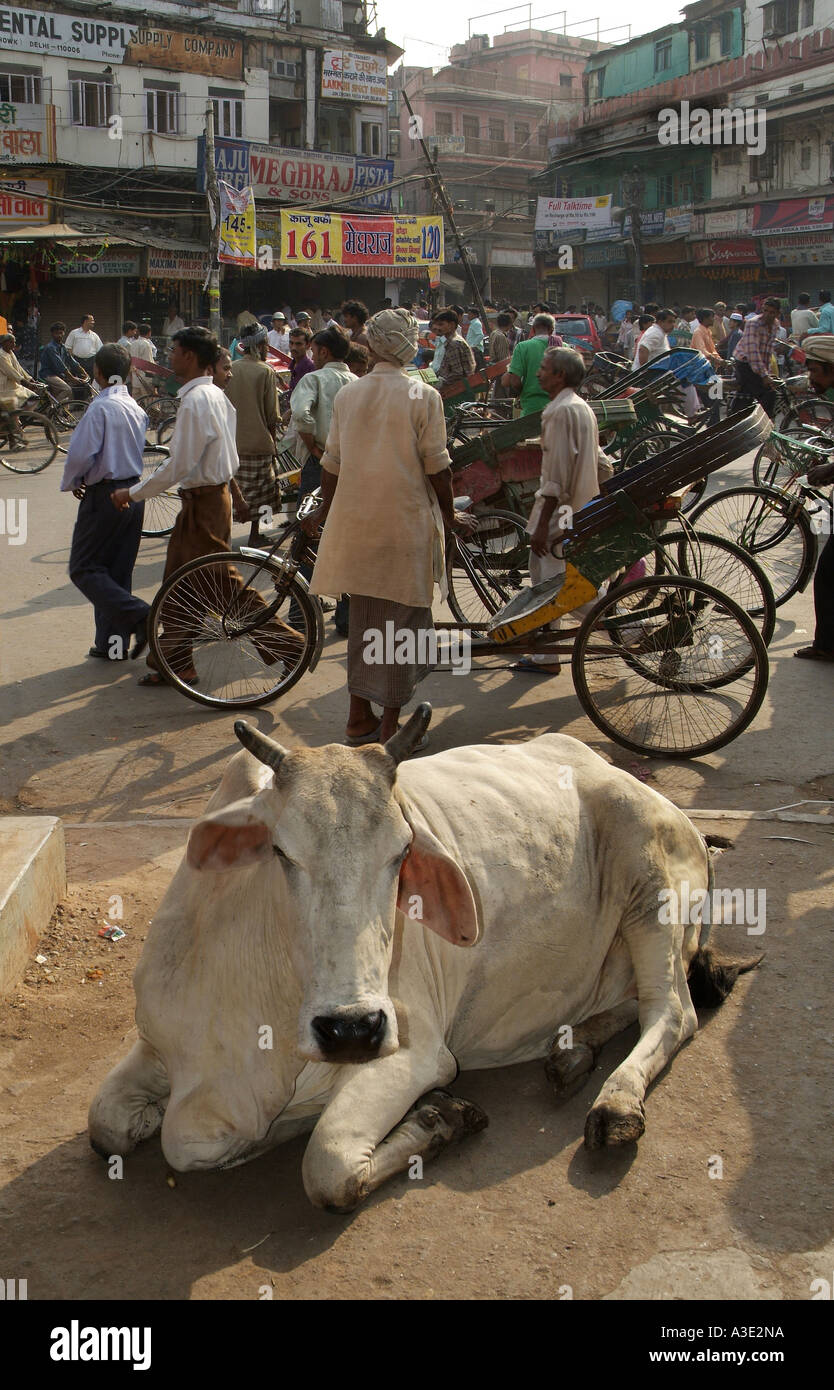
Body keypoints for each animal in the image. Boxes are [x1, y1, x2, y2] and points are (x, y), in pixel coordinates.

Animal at [89, 705, 757, 1212]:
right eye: (280, 852)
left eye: (402, 850)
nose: (352, 1029)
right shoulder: (157, 1043)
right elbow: (107, 1126)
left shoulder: (415, 1052)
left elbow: (328, 1164)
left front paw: (439, 1118)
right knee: (632, 1005)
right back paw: (572, 1051)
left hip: (652, 887)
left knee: (670, 1012)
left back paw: (615, 1102)